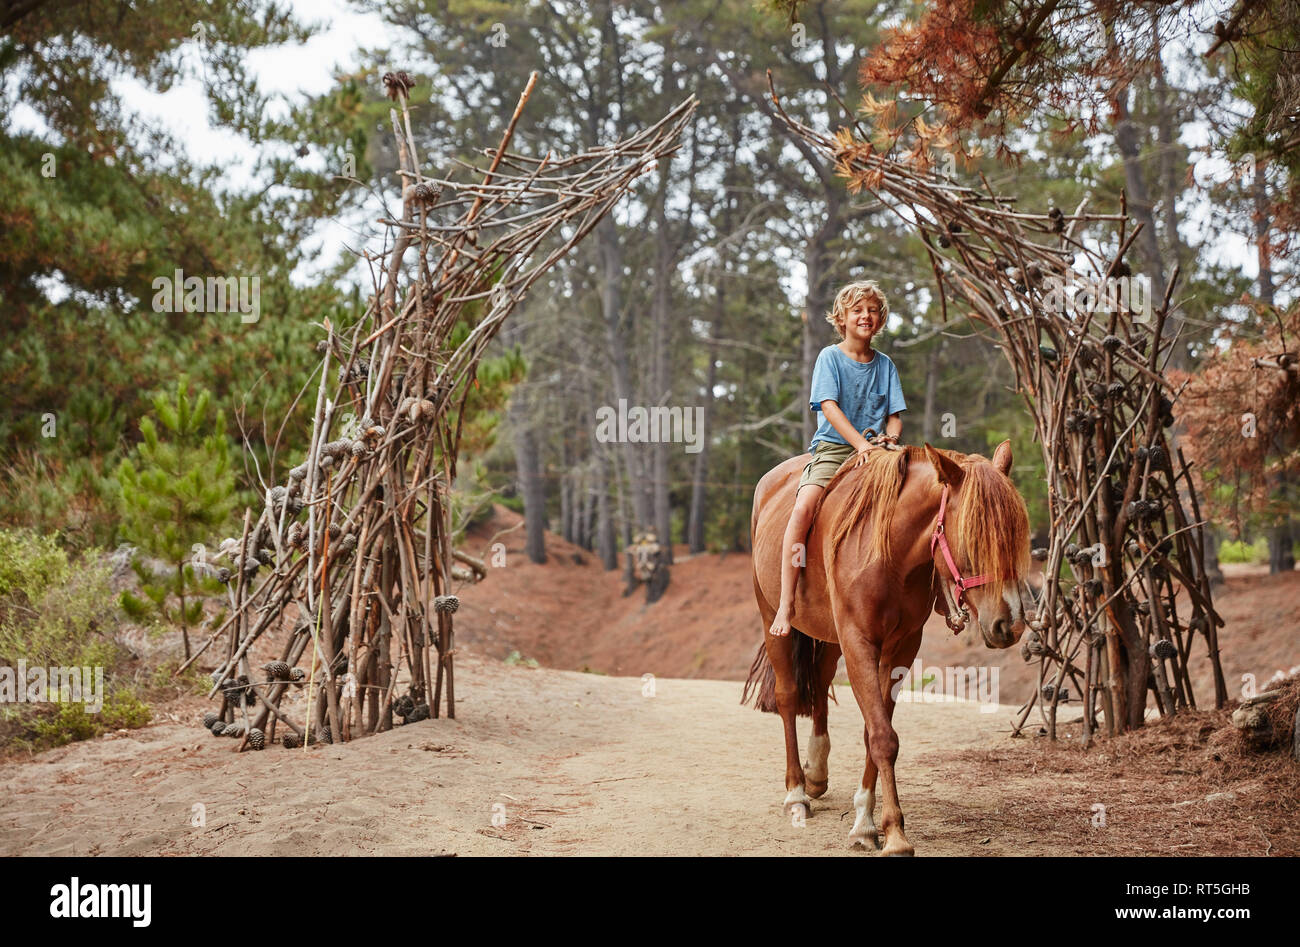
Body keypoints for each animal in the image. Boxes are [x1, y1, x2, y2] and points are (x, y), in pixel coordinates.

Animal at [745, 441, 1031, 855]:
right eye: (972, 540)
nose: (1009, 623)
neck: (890, 554)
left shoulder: (901, 649)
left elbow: (874, 733)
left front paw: (866, 821)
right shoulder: (859, 642)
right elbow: (882, 736)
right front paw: (891, 832)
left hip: (830, 638)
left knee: (819, 683)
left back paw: (816, 773)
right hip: (773, 620)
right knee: (787, 696)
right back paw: (796, 792)